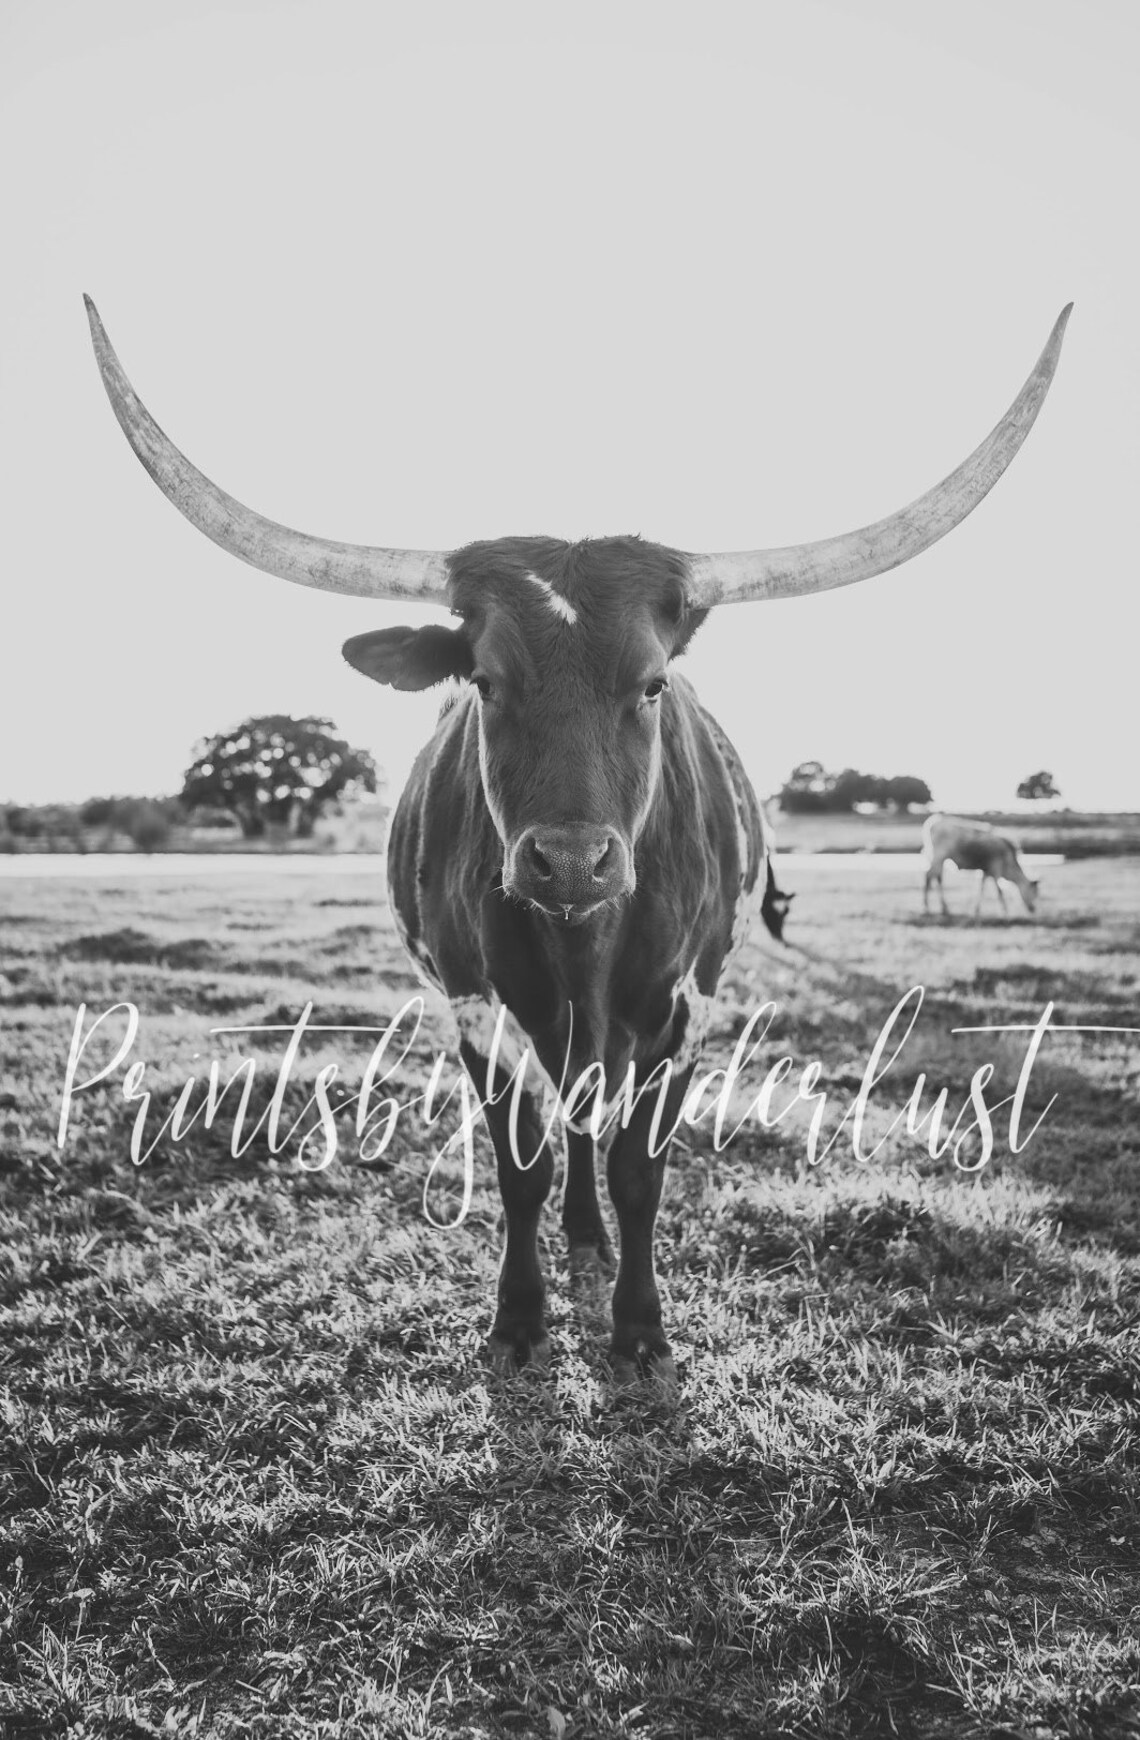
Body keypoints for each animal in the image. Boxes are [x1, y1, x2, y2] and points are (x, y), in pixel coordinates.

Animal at [84, 296, 1069, 1387]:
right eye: (484, 680)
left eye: (650, 684)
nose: (568, 861)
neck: (581, 935)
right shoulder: (473, 999)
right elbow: (522, 1159)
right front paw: (519, 1315)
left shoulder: (685, 1005)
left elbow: (642, 1166)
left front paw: (638, 1325)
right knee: (570, 1111)